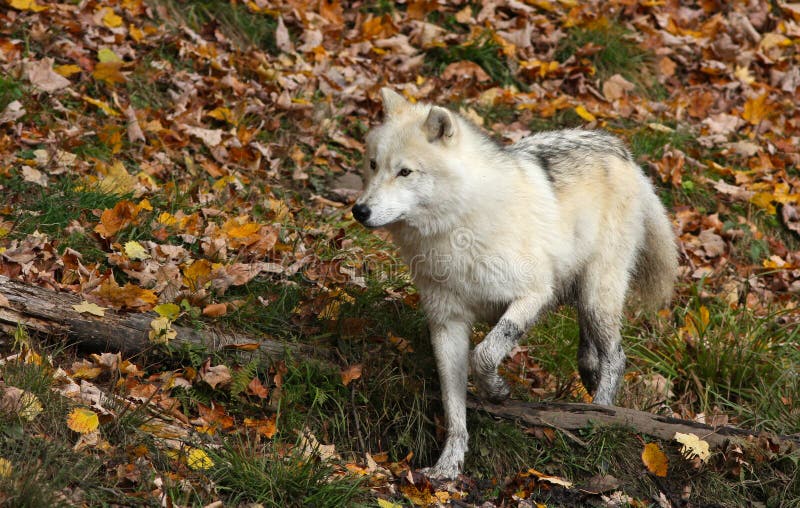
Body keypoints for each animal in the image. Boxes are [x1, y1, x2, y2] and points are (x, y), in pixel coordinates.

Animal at [352, 88, 678, 479]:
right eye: (373, 165)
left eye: (405, 172)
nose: (360, 211)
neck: (458, 229)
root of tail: (621, 150)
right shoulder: (446, 324)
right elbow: (452, 403)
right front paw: (448, 465)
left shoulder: (534, 293)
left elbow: (485, 354)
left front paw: (498, 392)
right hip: (584, 297)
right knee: (591, 352)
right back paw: (590, 384)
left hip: (597, 296)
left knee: (616, 355)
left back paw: (600, 411)